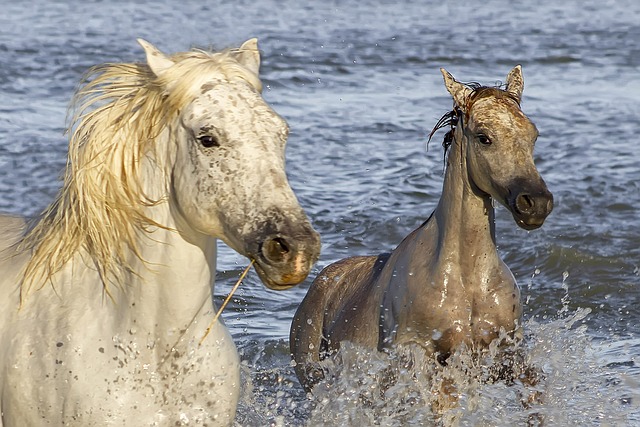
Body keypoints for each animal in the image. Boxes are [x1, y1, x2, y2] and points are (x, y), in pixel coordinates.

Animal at [290, 66, 553, 398]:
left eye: (533, 135)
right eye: (484, 138)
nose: (536, 203)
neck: (466, 280)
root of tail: (321, 283)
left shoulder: (505, 351)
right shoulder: (419, 354)